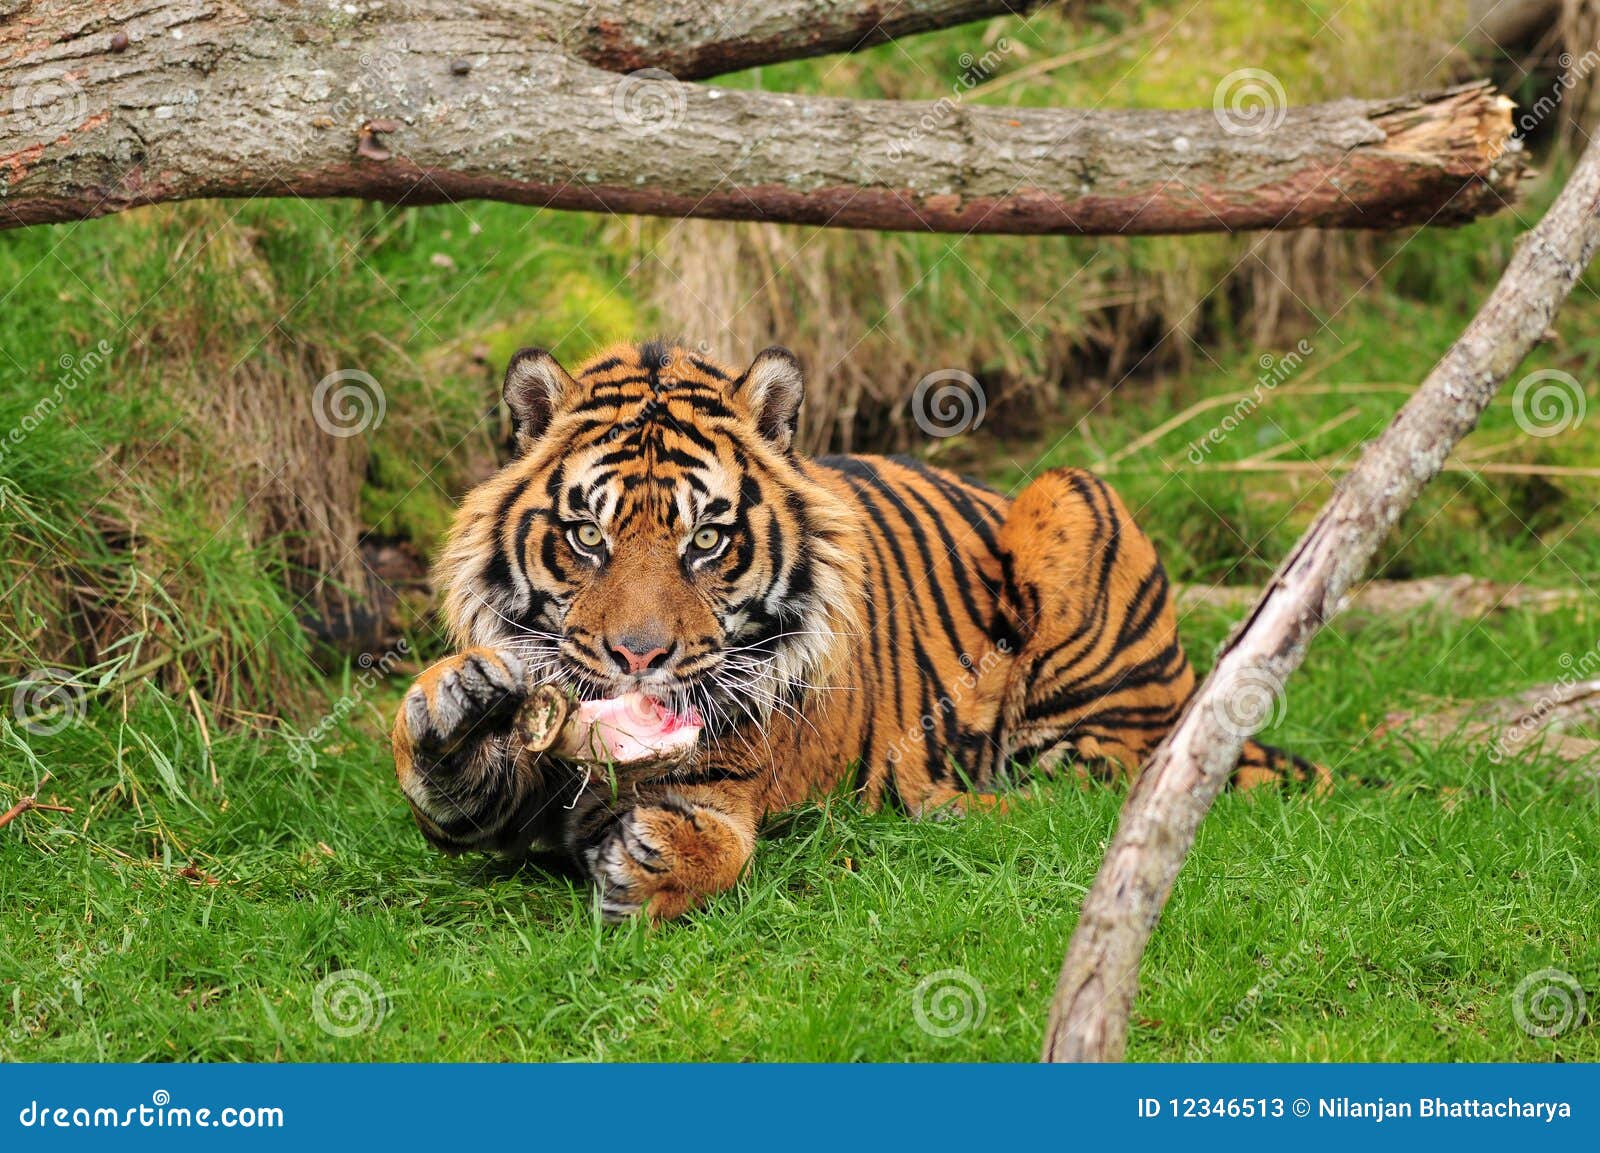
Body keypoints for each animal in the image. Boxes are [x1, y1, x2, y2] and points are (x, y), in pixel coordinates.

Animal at [392, 340, 1326, 921]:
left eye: (706, 540)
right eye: (589, 535)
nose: (638, 656)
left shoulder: (732, 779)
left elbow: (721, 843)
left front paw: (651, 864)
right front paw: (449, 705)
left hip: (1072, 496)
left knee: (1092, 780)